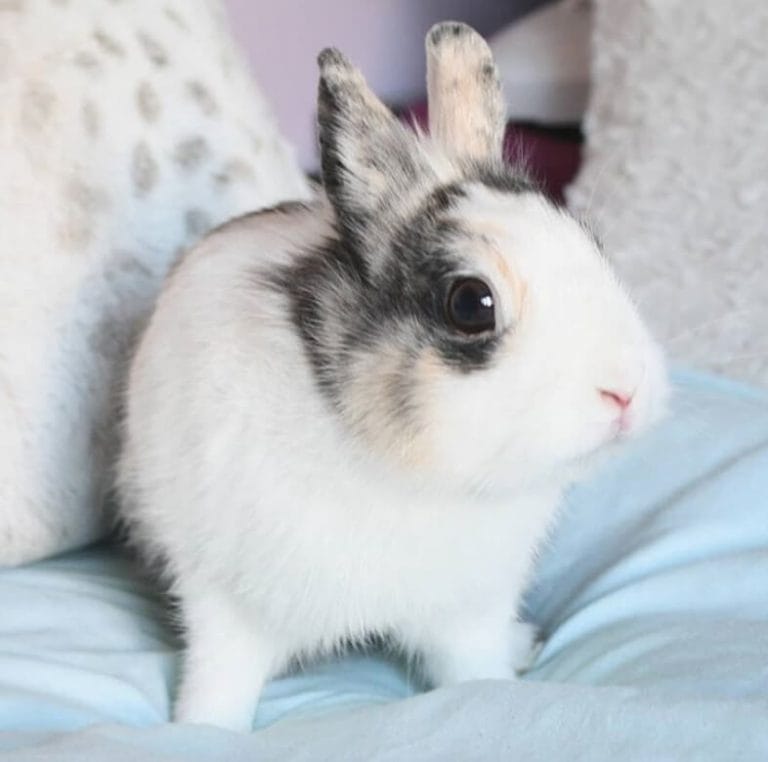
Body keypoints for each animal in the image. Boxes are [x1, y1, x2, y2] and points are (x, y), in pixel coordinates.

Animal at [117, 21, 669, 731]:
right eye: (471, 304)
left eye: (593, 244)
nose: (625, 391)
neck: (405, 470)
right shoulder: (223, 601)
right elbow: (220, 680)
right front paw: (201, 731)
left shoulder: (468, 611)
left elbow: (475, 671)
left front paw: (502, 686)